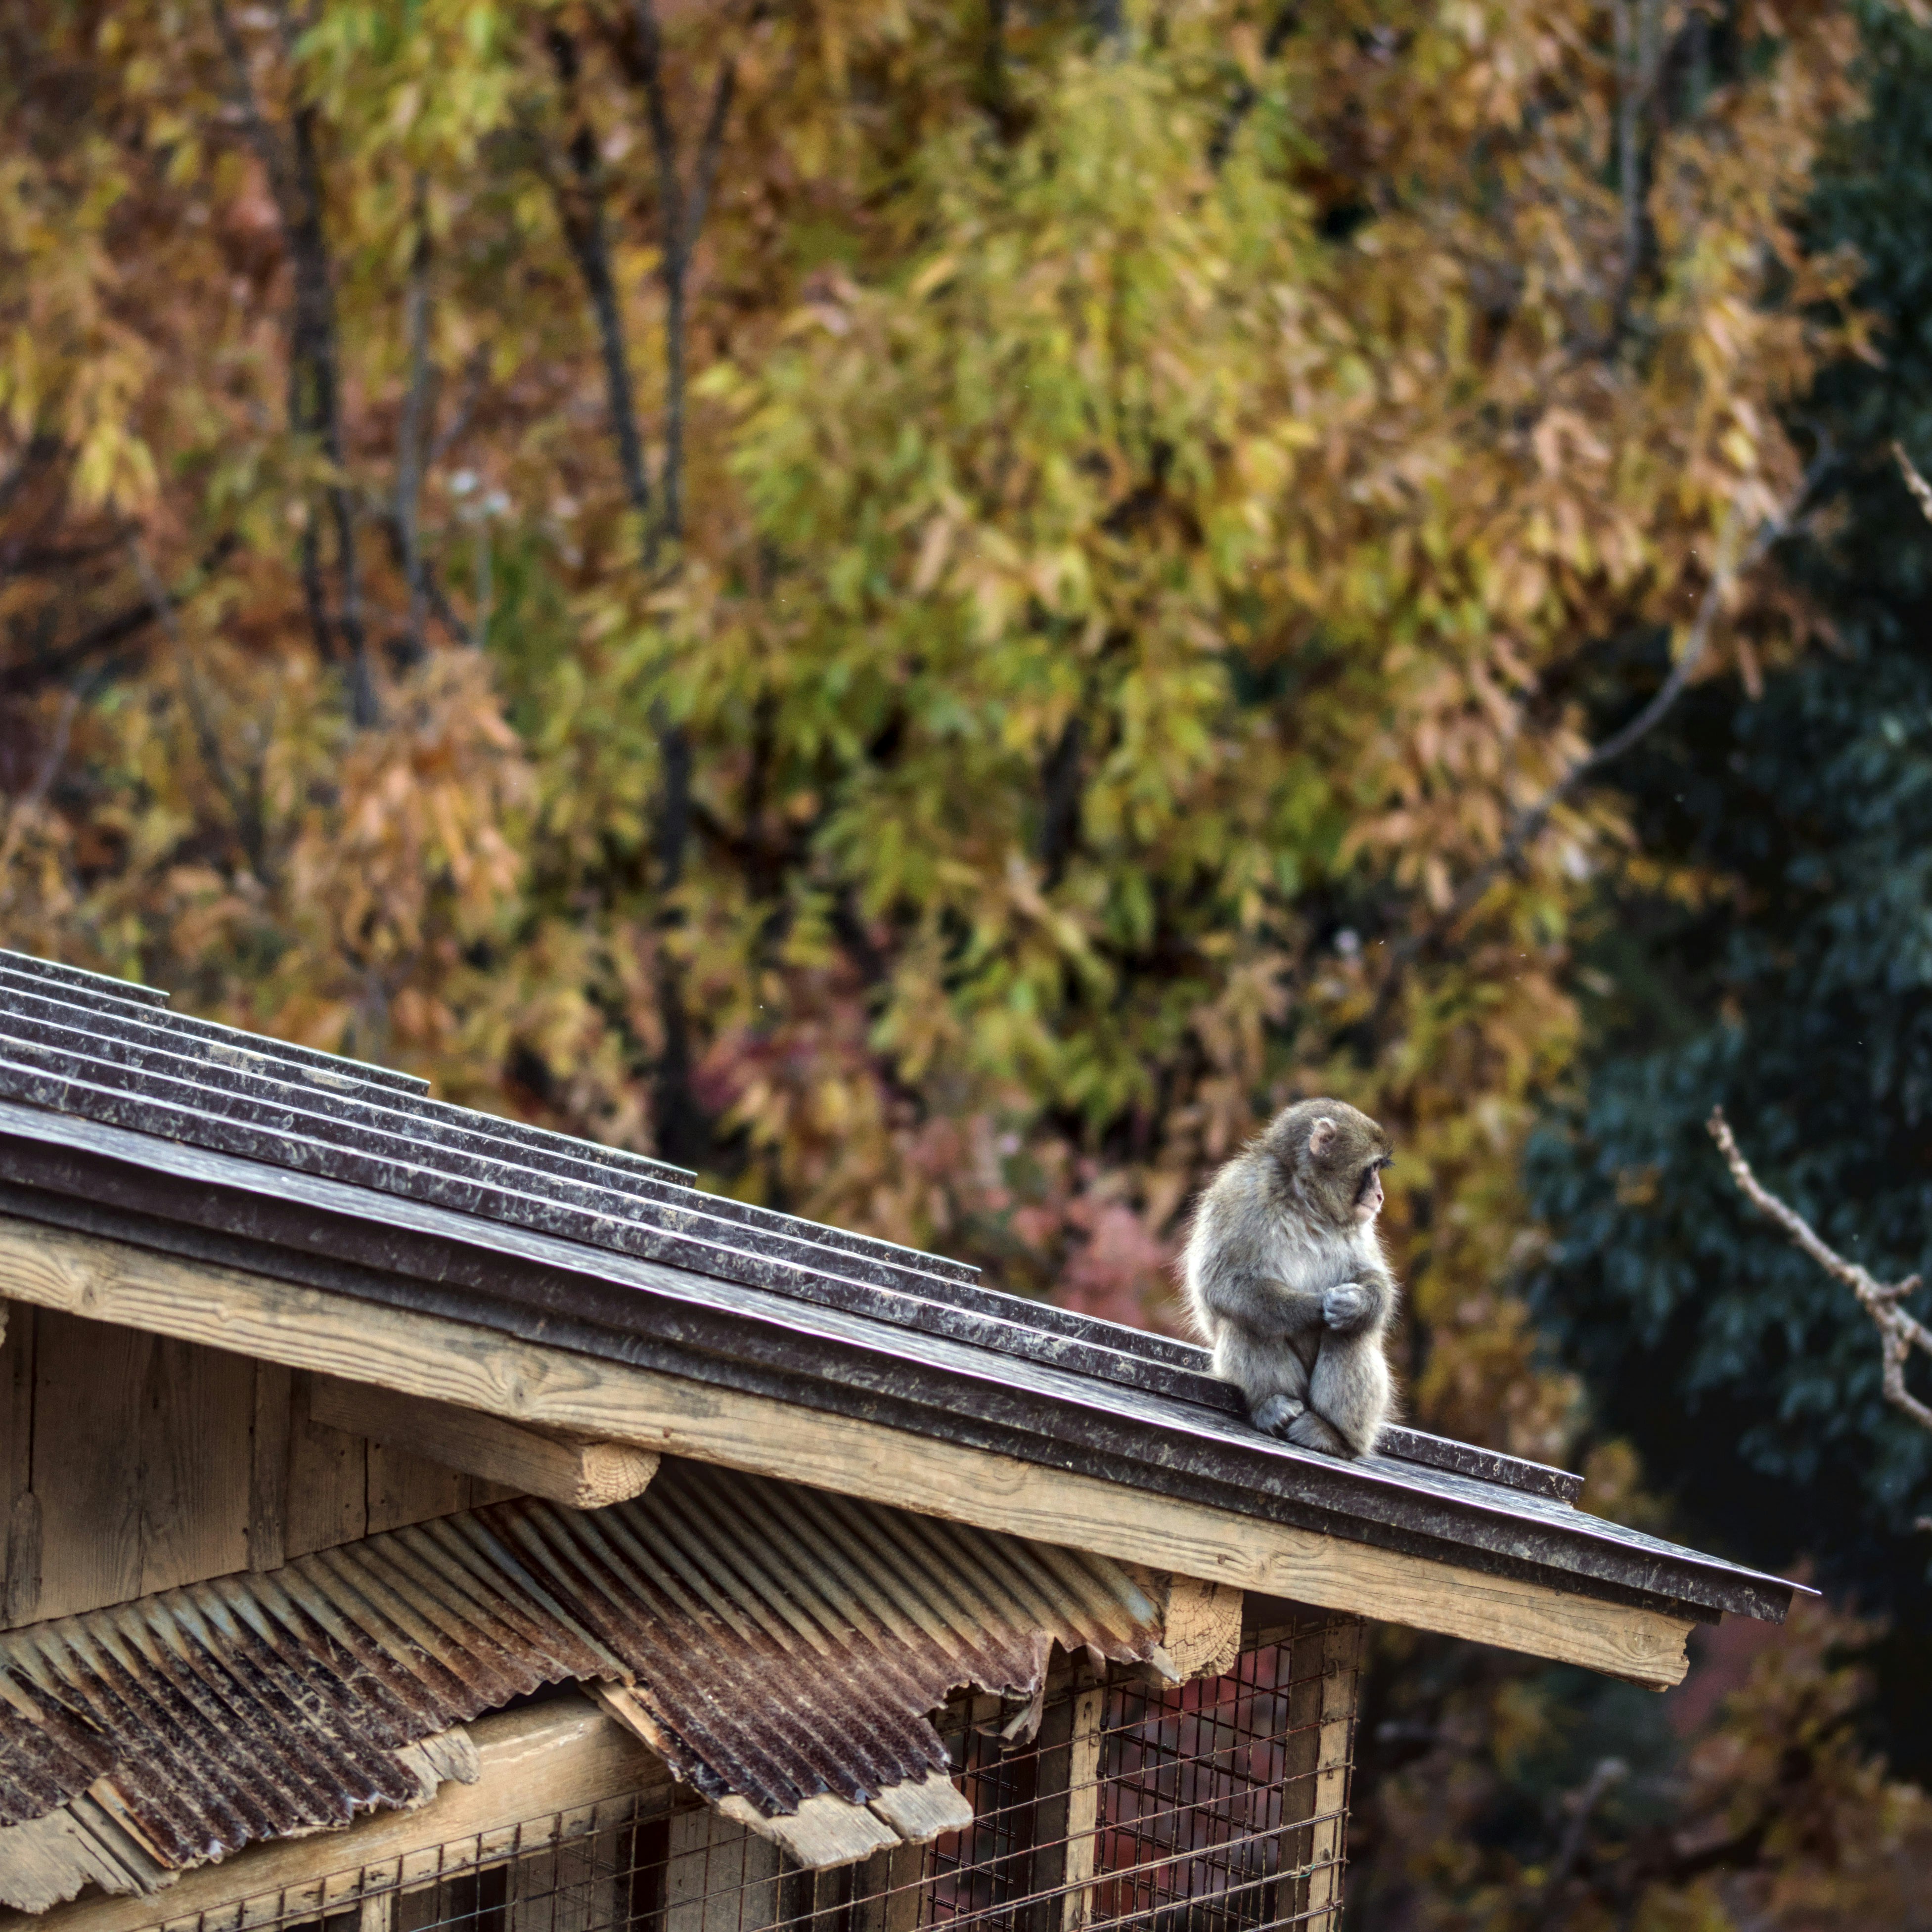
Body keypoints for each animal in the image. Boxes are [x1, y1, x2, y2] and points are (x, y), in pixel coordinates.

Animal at [1182, 1098, 1398, 1458]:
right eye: (1372, 1169)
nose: (1379, 1195)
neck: (1307, 1202)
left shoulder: (1360, 1226)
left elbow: (1370, 1277)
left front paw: (1355, 1304)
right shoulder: (1240, 1194)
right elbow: (1220, 1283)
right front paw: (1316, 1307)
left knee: (1351, 1335)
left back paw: (1335, 1436)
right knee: (1248, 1320)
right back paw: (1272, 1406)